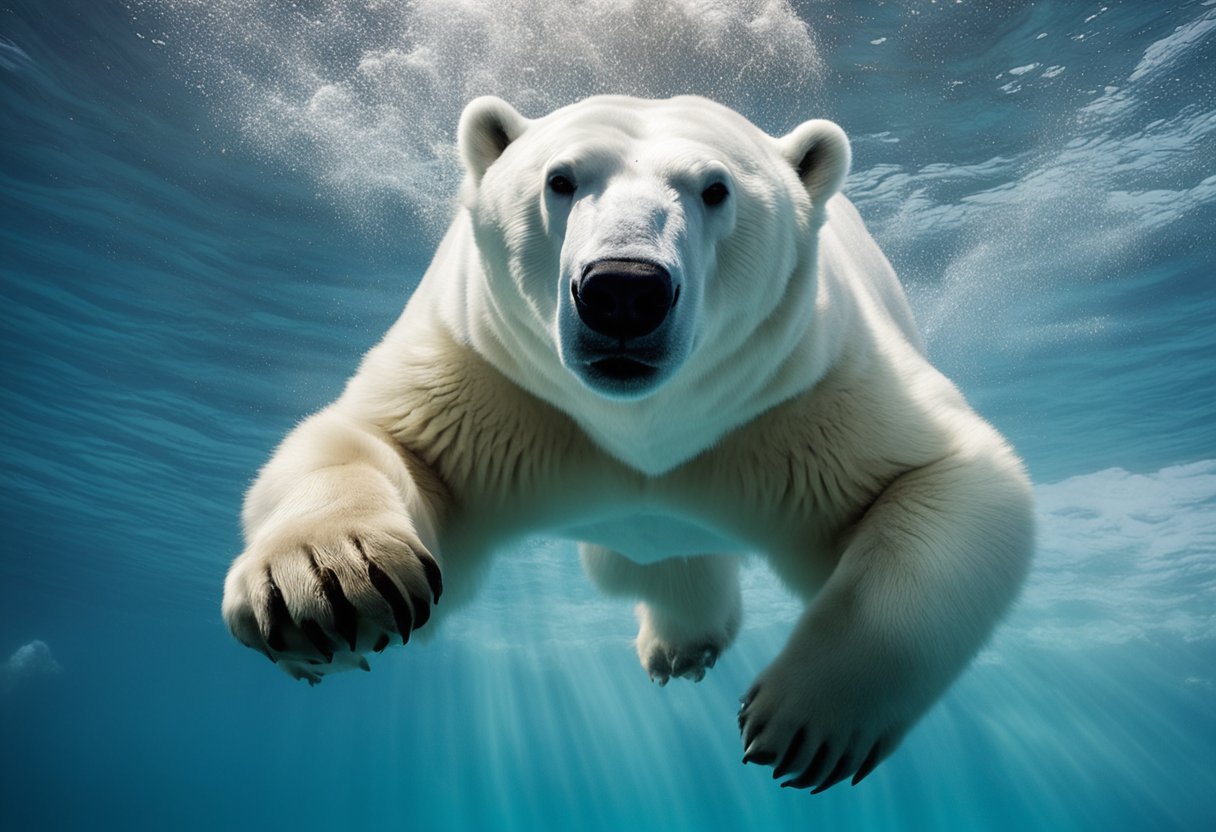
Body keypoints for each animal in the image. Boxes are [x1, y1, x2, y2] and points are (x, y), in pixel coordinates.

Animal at [222, 95, 1034, 793]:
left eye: (715, 189)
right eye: (560, 179)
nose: (623, 289)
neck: (640, 420)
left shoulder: (805, 398)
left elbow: (953, 480)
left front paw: (809, 721)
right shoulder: (489, 383)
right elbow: (371, 440)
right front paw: (329, 592)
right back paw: (681, 642)